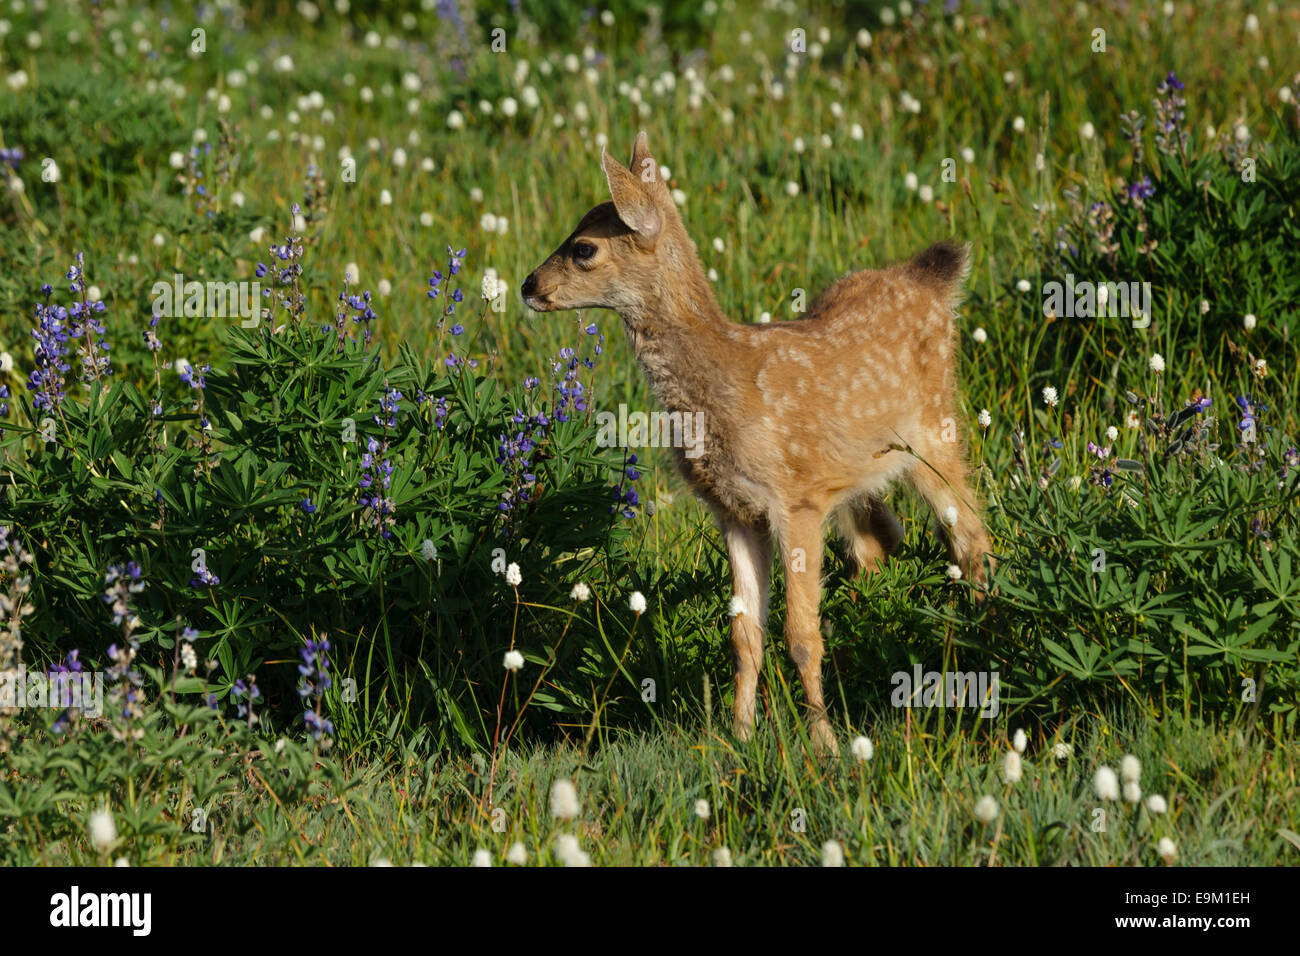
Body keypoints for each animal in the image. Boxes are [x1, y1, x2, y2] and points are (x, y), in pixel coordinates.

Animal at [521, 131, 994, 756]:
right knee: (878, 545)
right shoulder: (735, 511)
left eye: (582, 248)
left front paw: (824, 744)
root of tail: (930, 277)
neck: (721, 389)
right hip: (859, 478)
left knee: (971, 535)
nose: (528, 285)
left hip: (935, 431)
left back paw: (985, 633)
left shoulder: (795, 501)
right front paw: (739, 737)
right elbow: (745, 634)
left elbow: (801, 634)